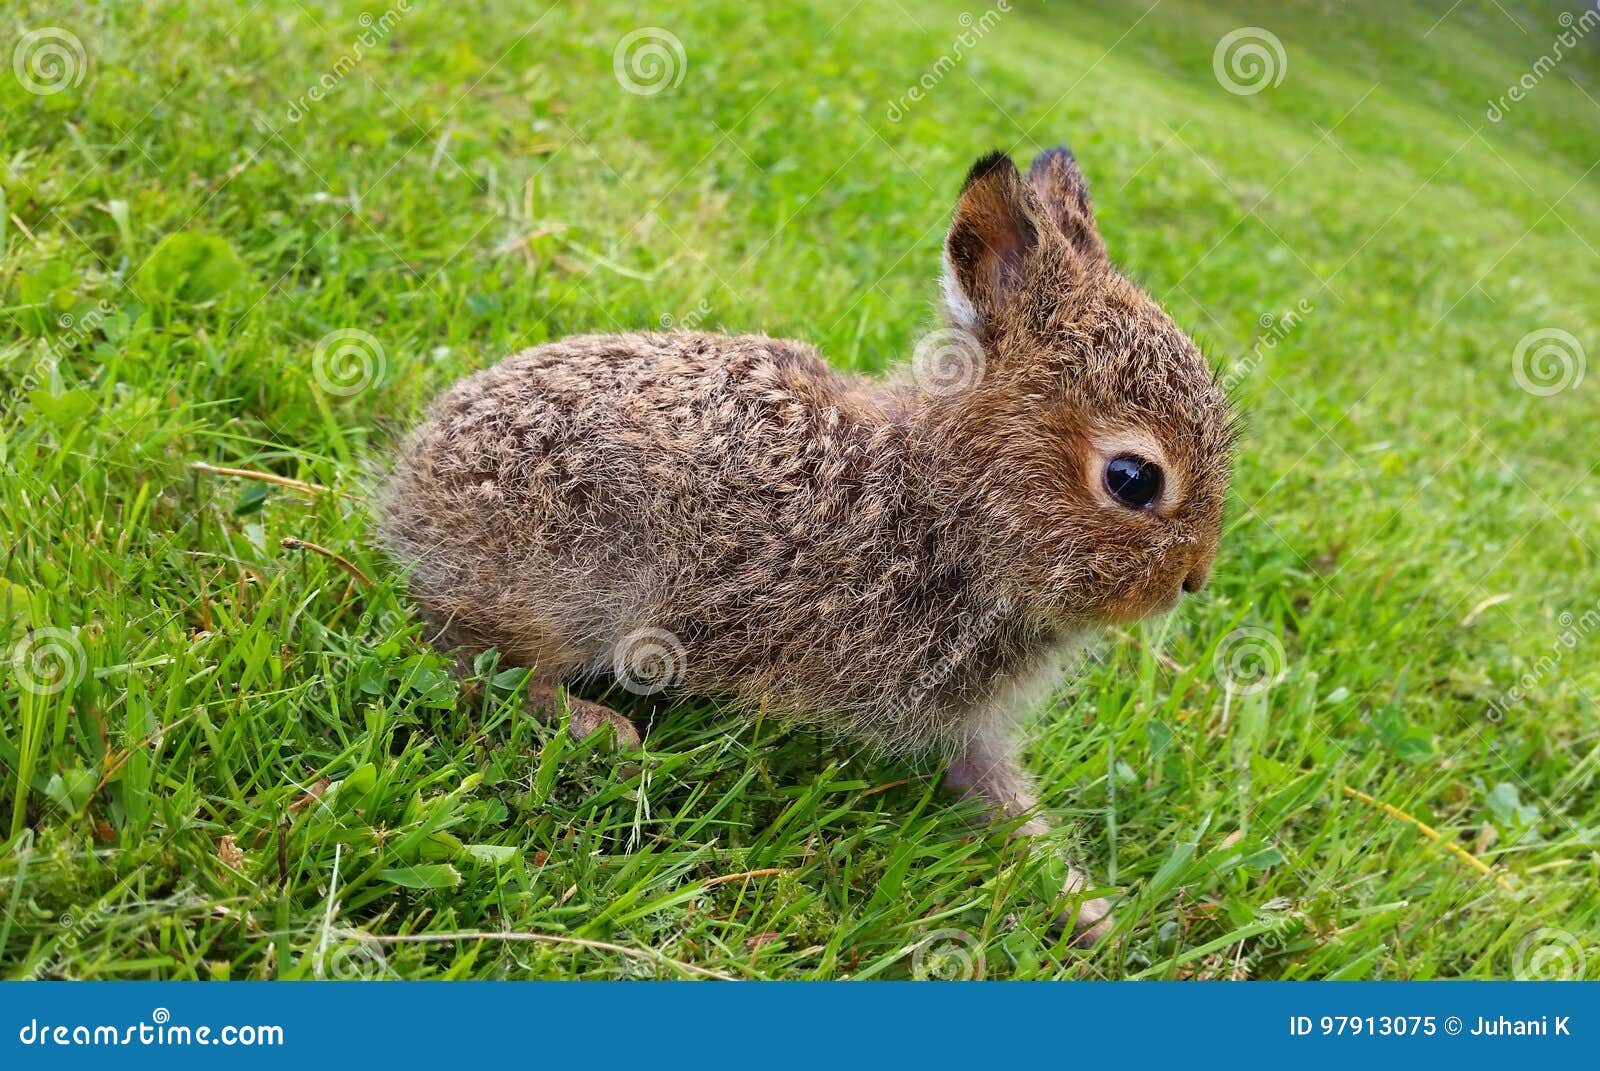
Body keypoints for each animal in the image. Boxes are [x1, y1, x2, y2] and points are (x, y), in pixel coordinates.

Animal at [379, 146, 1234, 946]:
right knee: (473, 661)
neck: (946, 497)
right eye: (1132, 479)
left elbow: (1003, 795)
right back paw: (598, 726)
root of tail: (409, 490)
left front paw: (1088, 911)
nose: (1192, 579)